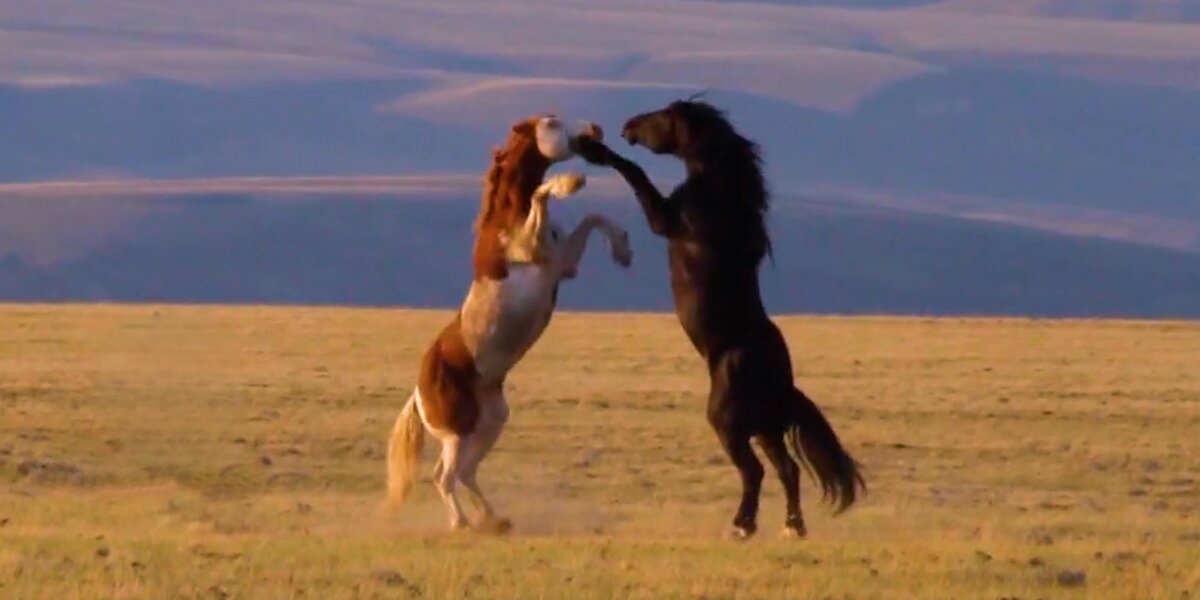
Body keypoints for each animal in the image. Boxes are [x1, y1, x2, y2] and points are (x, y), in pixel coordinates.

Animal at [386, 114, 633, 533]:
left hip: (489, 423)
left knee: (465, 473)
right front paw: (569, 182)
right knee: (443, 476)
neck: (505, 221)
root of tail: (418, 395)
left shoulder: (561, 265)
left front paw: (623, 248)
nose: (594, 132)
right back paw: (462, 524)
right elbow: (541, 196)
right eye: (551, 123)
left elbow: (591, 218)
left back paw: (493, 519)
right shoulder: (535, 251)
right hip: (457, 430)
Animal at [574, 100, 864, 539]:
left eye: (664, 116)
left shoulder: (666, 218)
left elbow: (635, 172)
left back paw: (742, 526)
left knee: (756, 471)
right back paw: (792, 527)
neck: (720, 193)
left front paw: (595, 151)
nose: (627, 126)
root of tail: (783, 385)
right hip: (764, 428)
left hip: (728, 422)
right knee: (787, 470)